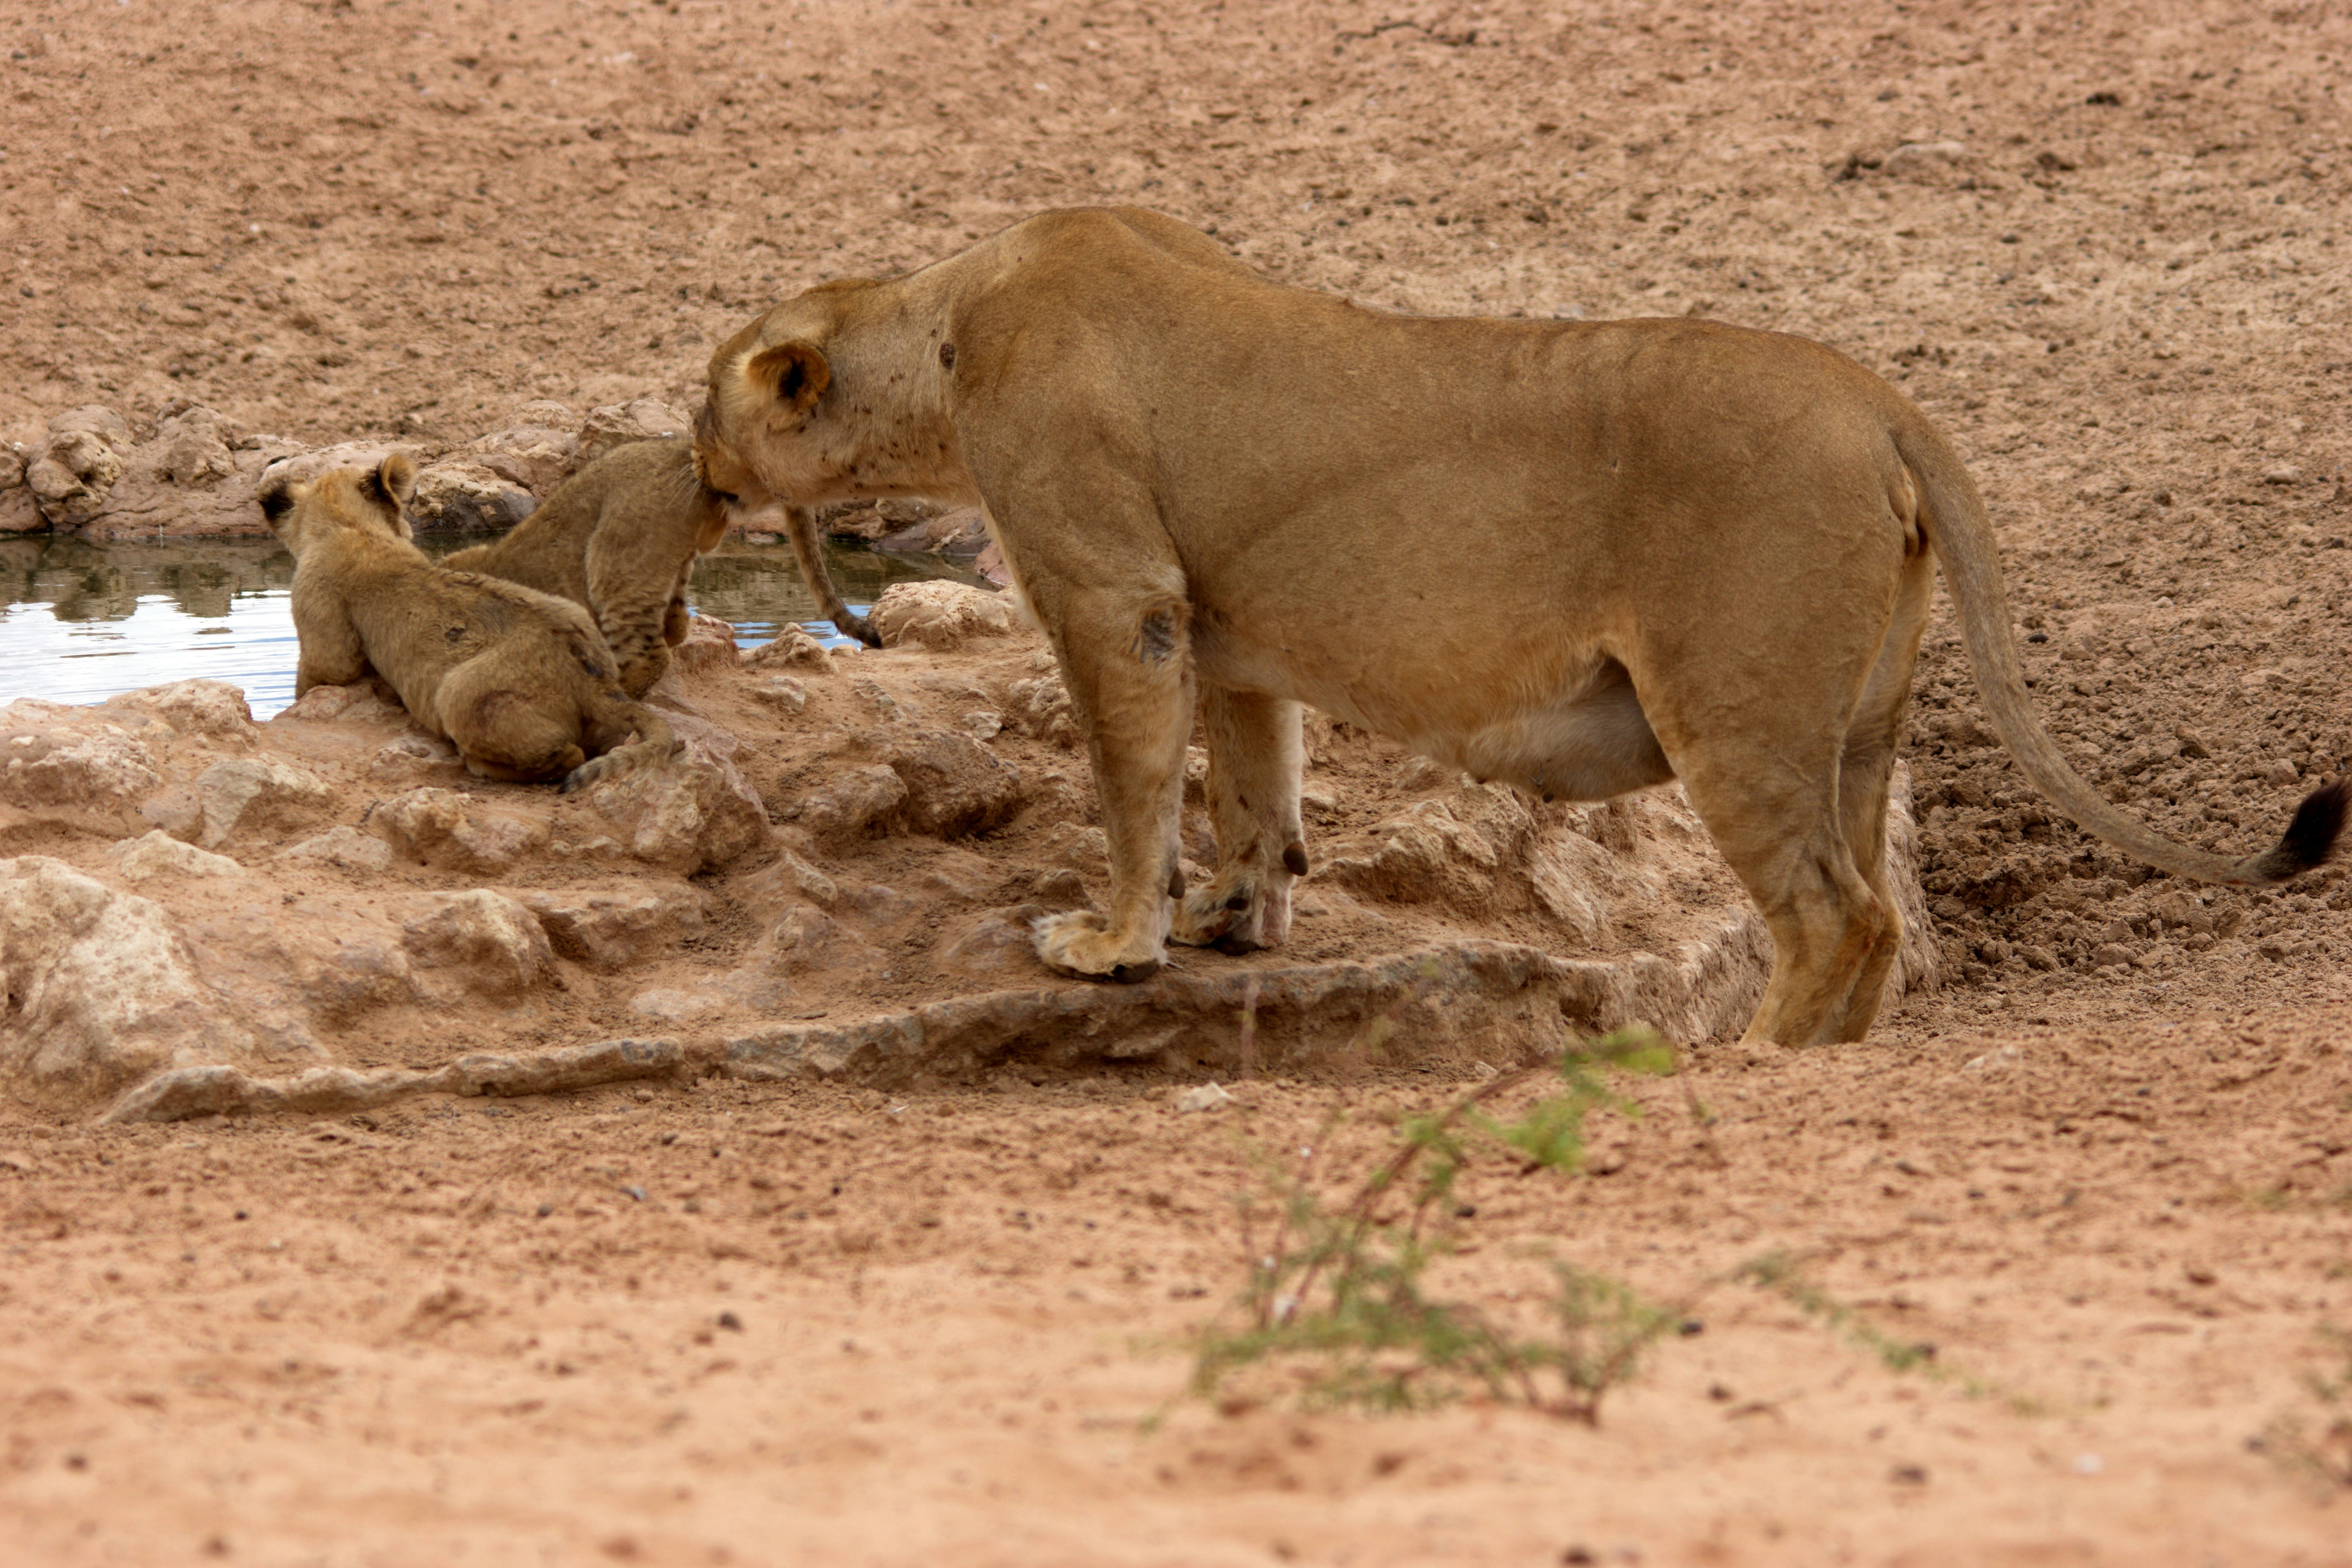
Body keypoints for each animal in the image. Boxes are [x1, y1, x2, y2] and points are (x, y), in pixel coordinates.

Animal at [258, 453, 678, 790]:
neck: (353, 526)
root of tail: (596, 683)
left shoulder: (323, 622)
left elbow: (324, 672)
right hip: (573, 612)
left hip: (458, 692)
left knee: (569, 756)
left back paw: (479, 765)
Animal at [438, 437, 879, 697]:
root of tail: (685, 449)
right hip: (668, 558)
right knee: (676, 621)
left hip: (615, 562)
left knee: (651, 654)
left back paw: (618, 692)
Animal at [694, 206, 2346, 1046]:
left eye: (708, 399)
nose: (692, 459)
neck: (945, 329)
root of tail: (1878, 397)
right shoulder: (1222, 626)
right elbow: (1254, 789)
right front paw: (1240, 918)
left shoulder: (1116, 596)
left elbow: (1132, 786)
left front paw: (1109, 945)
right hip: (1857, 724)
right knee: (1873, 911)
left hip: (1734, 707)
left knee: (1838, 913)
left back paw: (1745, 1066)